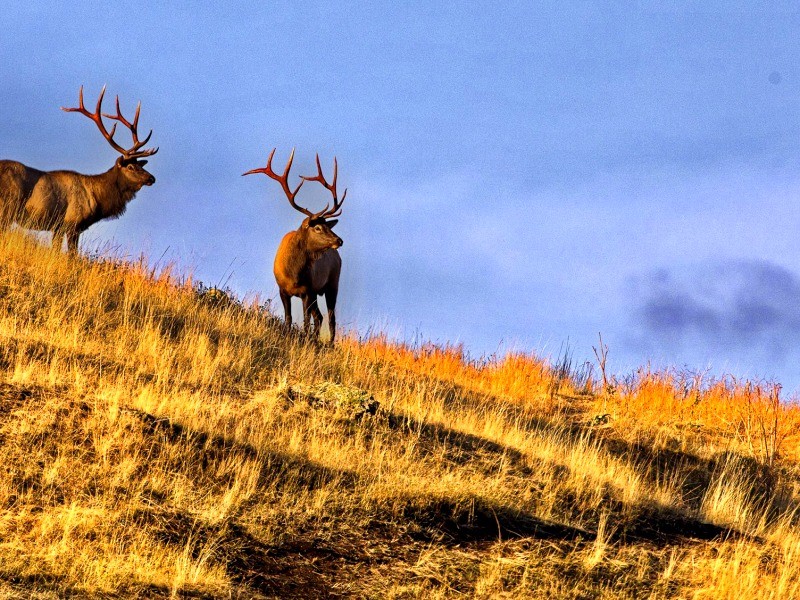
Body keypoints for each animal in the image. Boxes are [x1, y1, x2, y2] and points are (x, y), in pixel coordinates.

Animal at [0, 86, 158, 253]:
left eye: (140, 165)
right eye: (130, 166)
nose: (151, 178)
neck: (98, 198)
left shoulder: (57, 228)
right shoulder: (72, 224)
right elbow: (72, 254)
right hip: (8, 208)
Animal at [243, 149, 345, 343]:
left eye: (329, 226)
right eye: (318, 228)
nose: (339, 240)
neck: (293, 274)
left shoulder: (307, 291)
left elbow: (305, 322)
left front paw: (304, 339)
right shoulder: (283, 289)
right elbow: (289, 318)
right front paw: (290, 336)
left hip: (332, 283)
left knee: (330, 317)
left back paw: (329, 343)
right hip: (319, 292)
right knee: (320, 316)